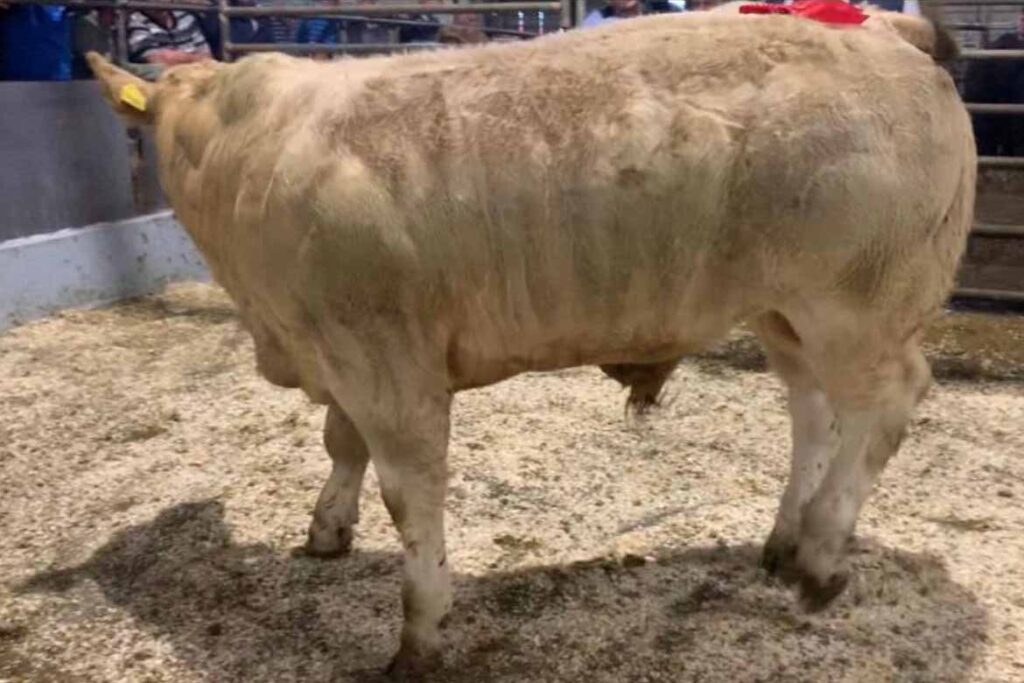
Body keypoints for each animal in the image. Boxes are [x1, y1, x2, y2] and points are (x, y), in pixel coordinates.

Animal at [86, 6, 975, 676]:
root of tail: (890, 32)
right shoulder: (341, 351)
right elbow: (341, 442)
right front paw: (327, 530)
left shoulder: (386, 358)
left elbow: (409, 490)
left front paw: (420, 629)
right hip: (785, 310)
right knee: (815, 412)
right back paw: (787, 539)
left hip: (859, 300)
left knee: (887, 402)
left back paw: (822, 556)